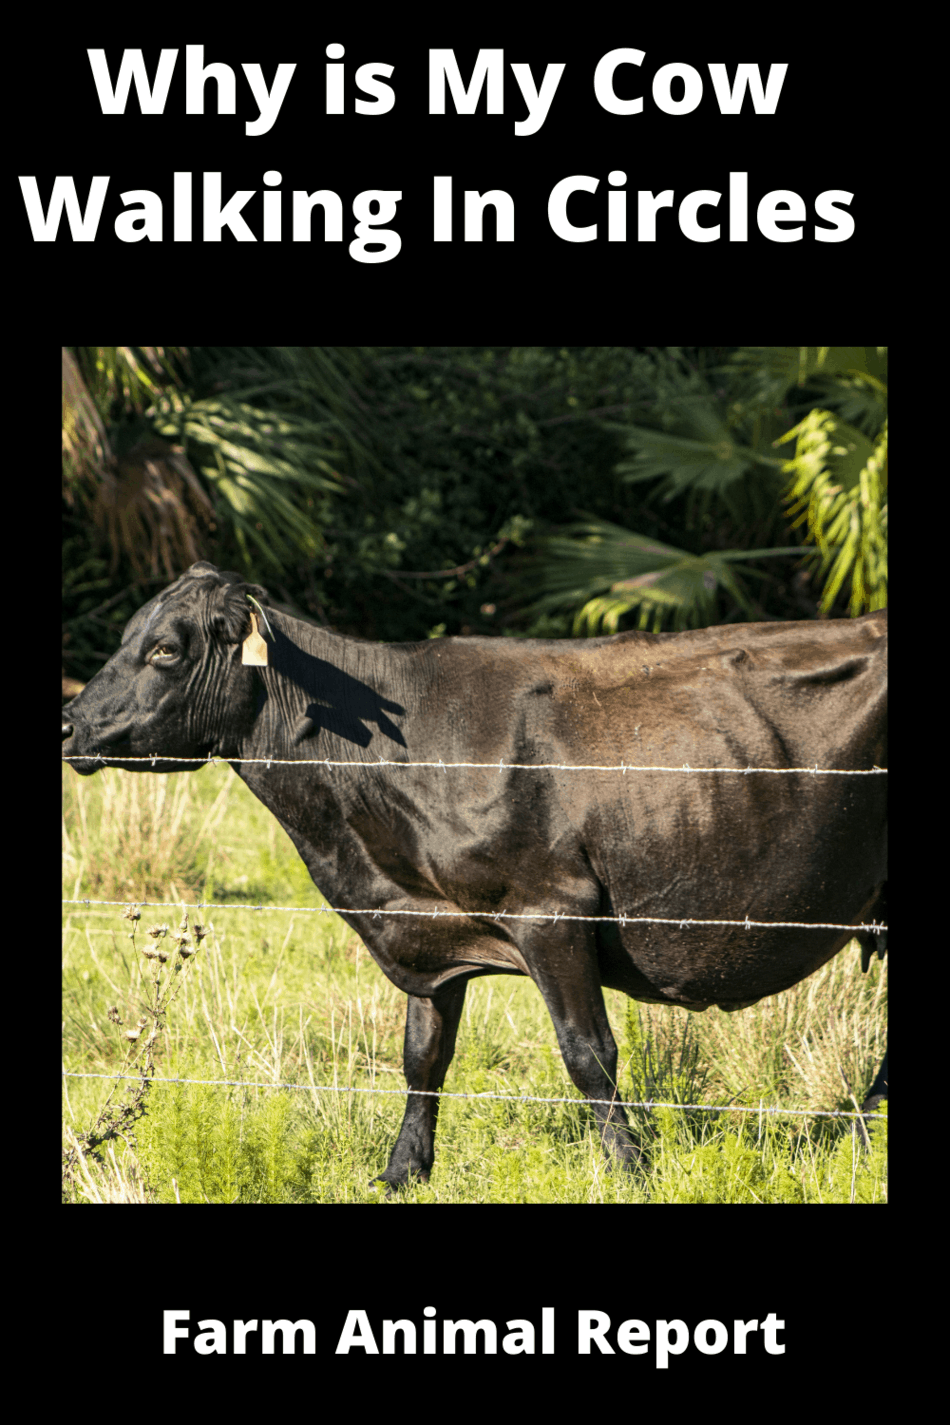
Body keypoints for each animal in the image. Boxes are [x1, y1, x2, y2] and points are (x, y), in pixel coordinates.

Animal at [62, 562, 887, 1186]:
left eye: (165, 650)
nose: (68, 722)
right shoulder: (428, 924)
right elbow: (422, 1056)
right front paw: (403, 1170)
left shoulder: (552, 909)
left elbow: (589, 1052)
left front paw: (631, 1170)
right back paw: (863, 1137)